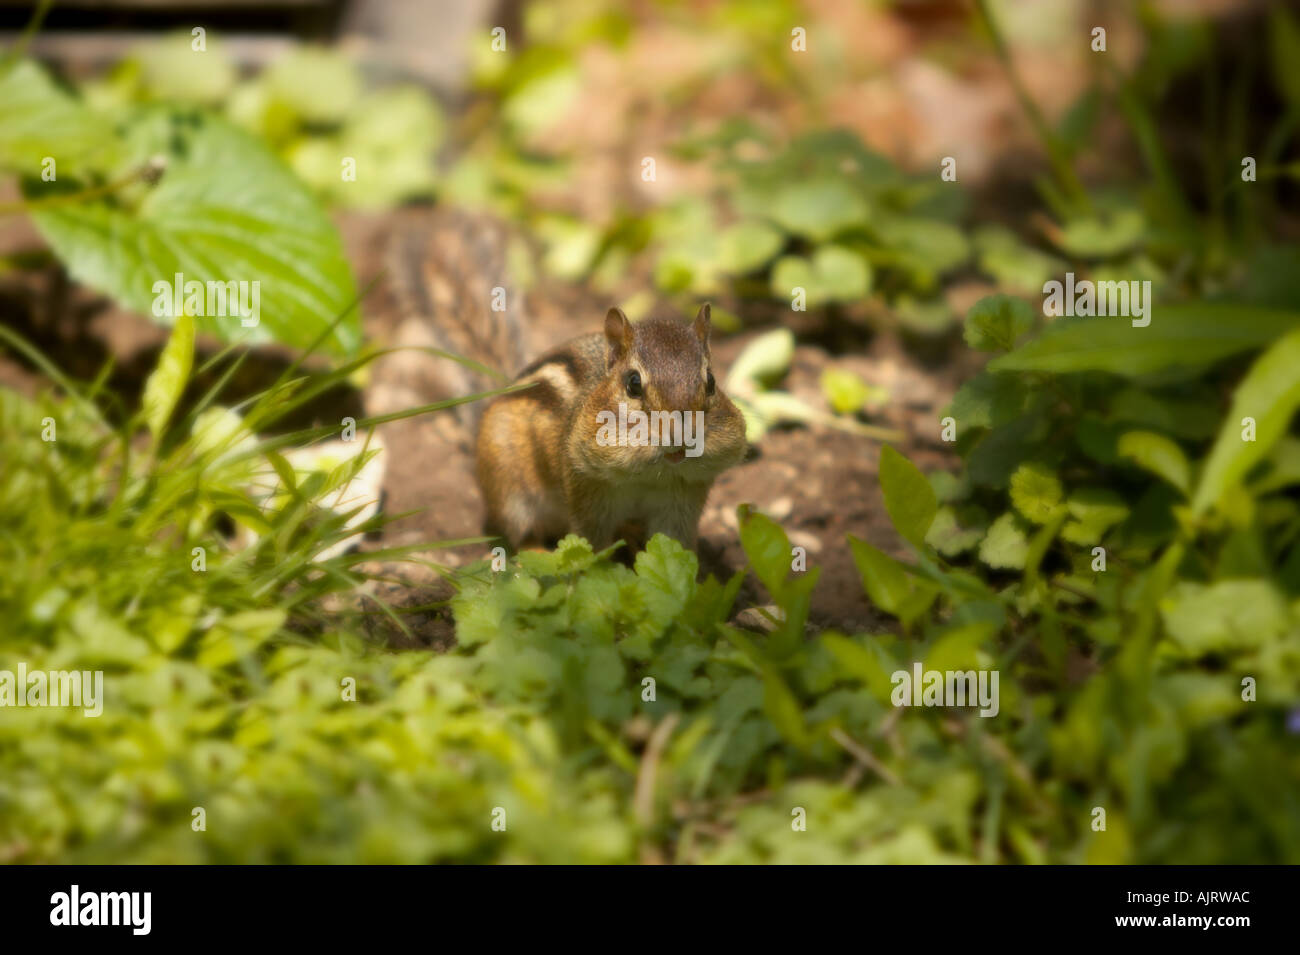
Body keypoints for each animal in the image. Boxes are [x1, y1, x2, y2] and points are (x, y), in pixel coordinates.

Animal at [388, 209, 748, 554]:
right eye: (633, 384)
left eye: (711, 381)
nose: (681, 438)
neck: (653, 479)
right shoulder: (589, 486)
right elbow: (594, 546)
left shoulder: (679, 503)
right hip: (510, 493)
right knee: (521, 537)